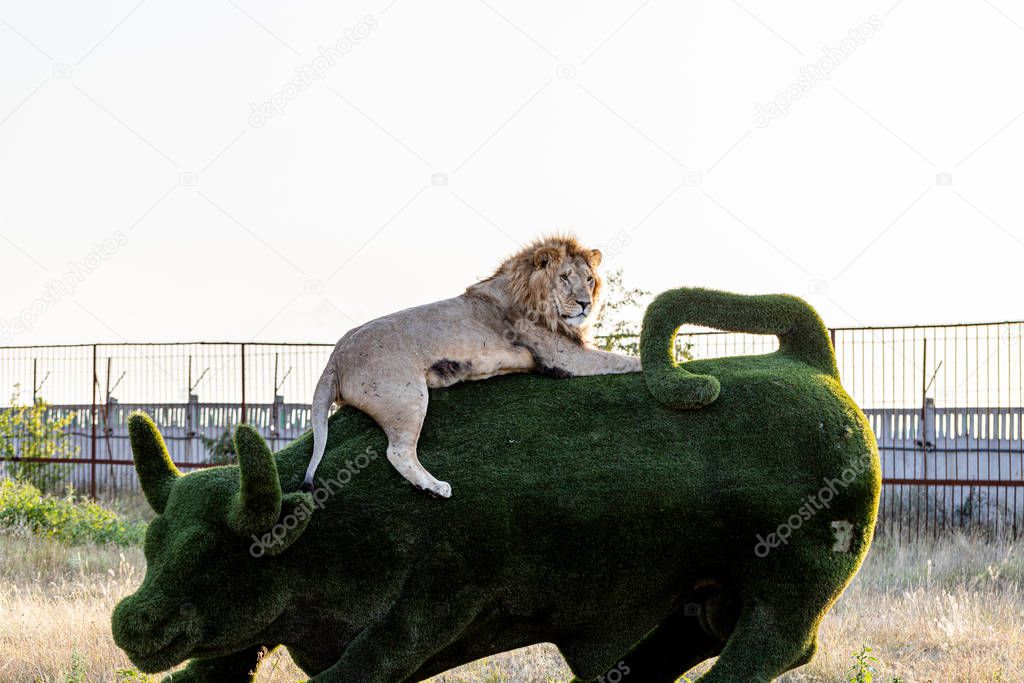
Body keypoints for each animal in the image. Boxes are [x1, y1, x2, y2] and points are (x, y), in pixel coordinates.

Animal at [301, 235, 642, 497]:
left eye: (589, 279)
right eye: (565, 277)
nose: (586, 304)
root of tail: (335, 356)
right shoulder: (564, 356)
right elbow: (624, 360)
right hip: (407, 397)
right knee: (397, 451)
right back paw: (435, 487)